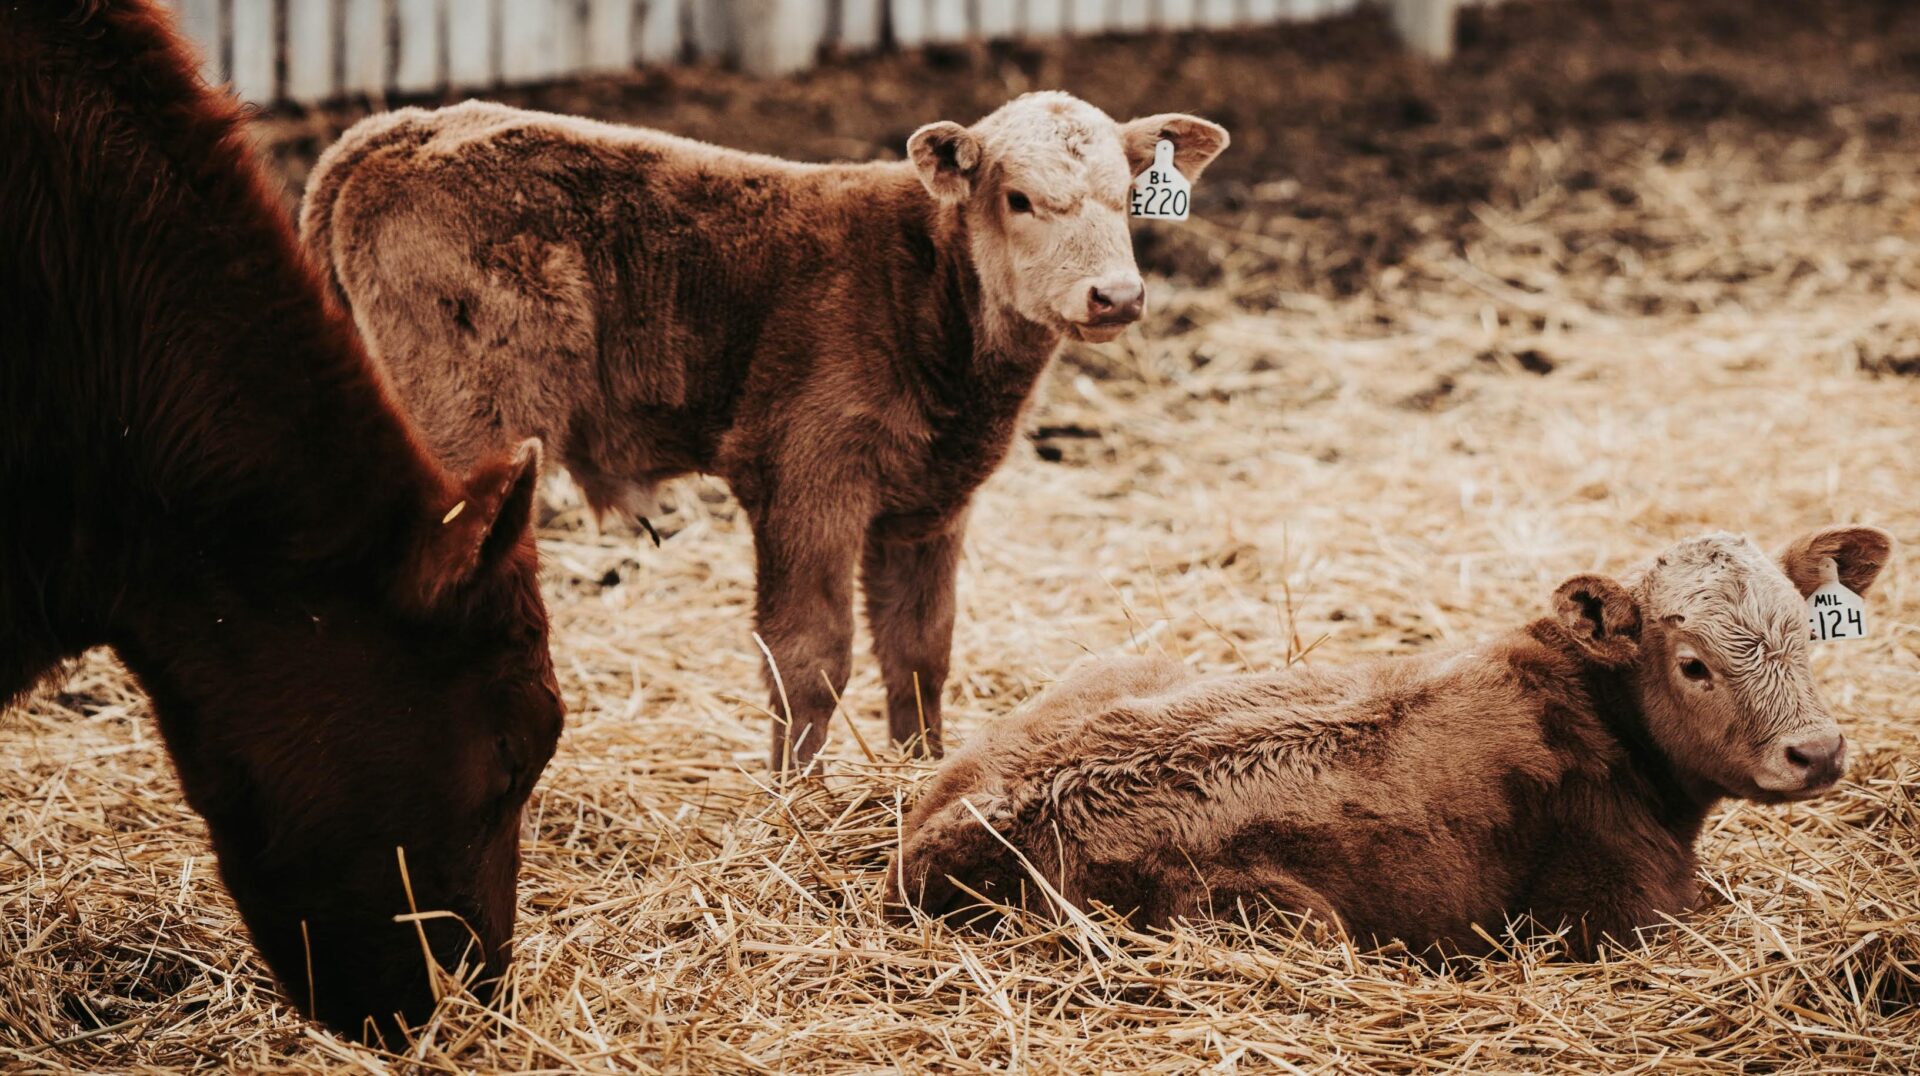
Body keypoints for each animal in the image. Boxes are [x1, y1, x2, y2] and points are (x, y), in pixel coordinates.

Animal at [298, 92, 1229, 771]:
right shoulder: (806, 481)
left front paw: (920, 776)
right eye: (1020, 198)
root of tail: (403, 128)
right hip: (464, 433)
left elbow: (919, 651)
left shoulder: (930, 504)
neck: (925, 297)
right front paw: (796, 801)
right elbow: (809, 656)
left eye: (1128, 198)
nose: (1116, 296)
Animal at [894, 527, 1893, 958]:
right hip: (1293, 919)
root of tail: (950, 829)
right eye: (1692, 664)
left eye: (1807, 632)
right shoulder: (1611, 914)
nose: (1816, 751)